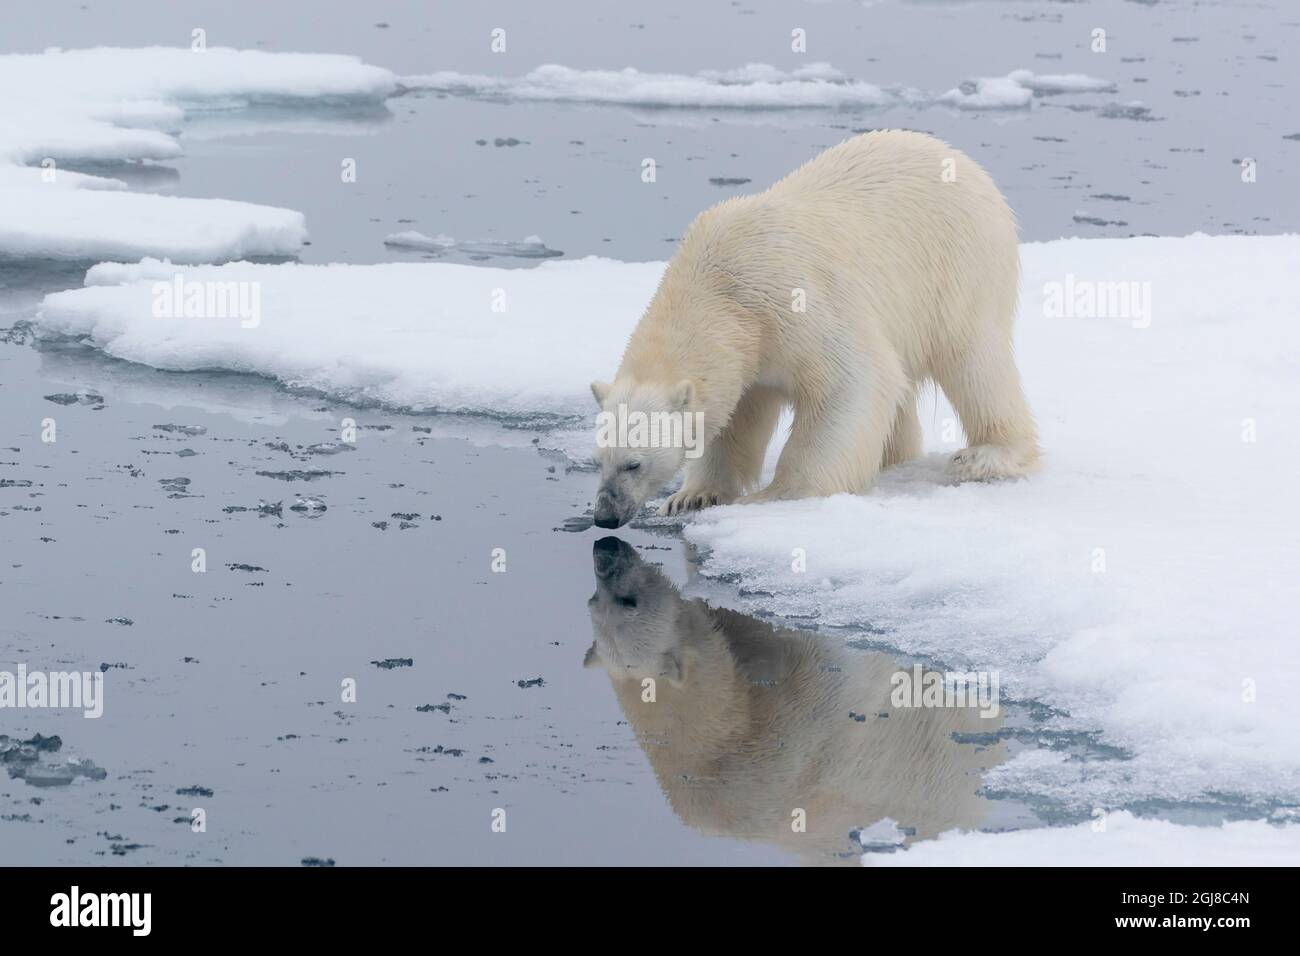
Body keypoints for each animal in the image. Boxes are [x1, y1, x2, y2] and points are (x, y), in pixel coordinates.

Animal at [590, 129, 1039, 529]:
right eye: (599, 459)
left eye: (633, 463)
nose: (605, 515)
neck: (720, 288)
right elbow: (735, 417)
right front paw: (693, 497)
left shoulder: (792, 301)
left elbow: (853, 381)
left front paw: (778, 494)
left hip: (959, 266)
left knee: (974, 361)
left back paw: (984, 456)